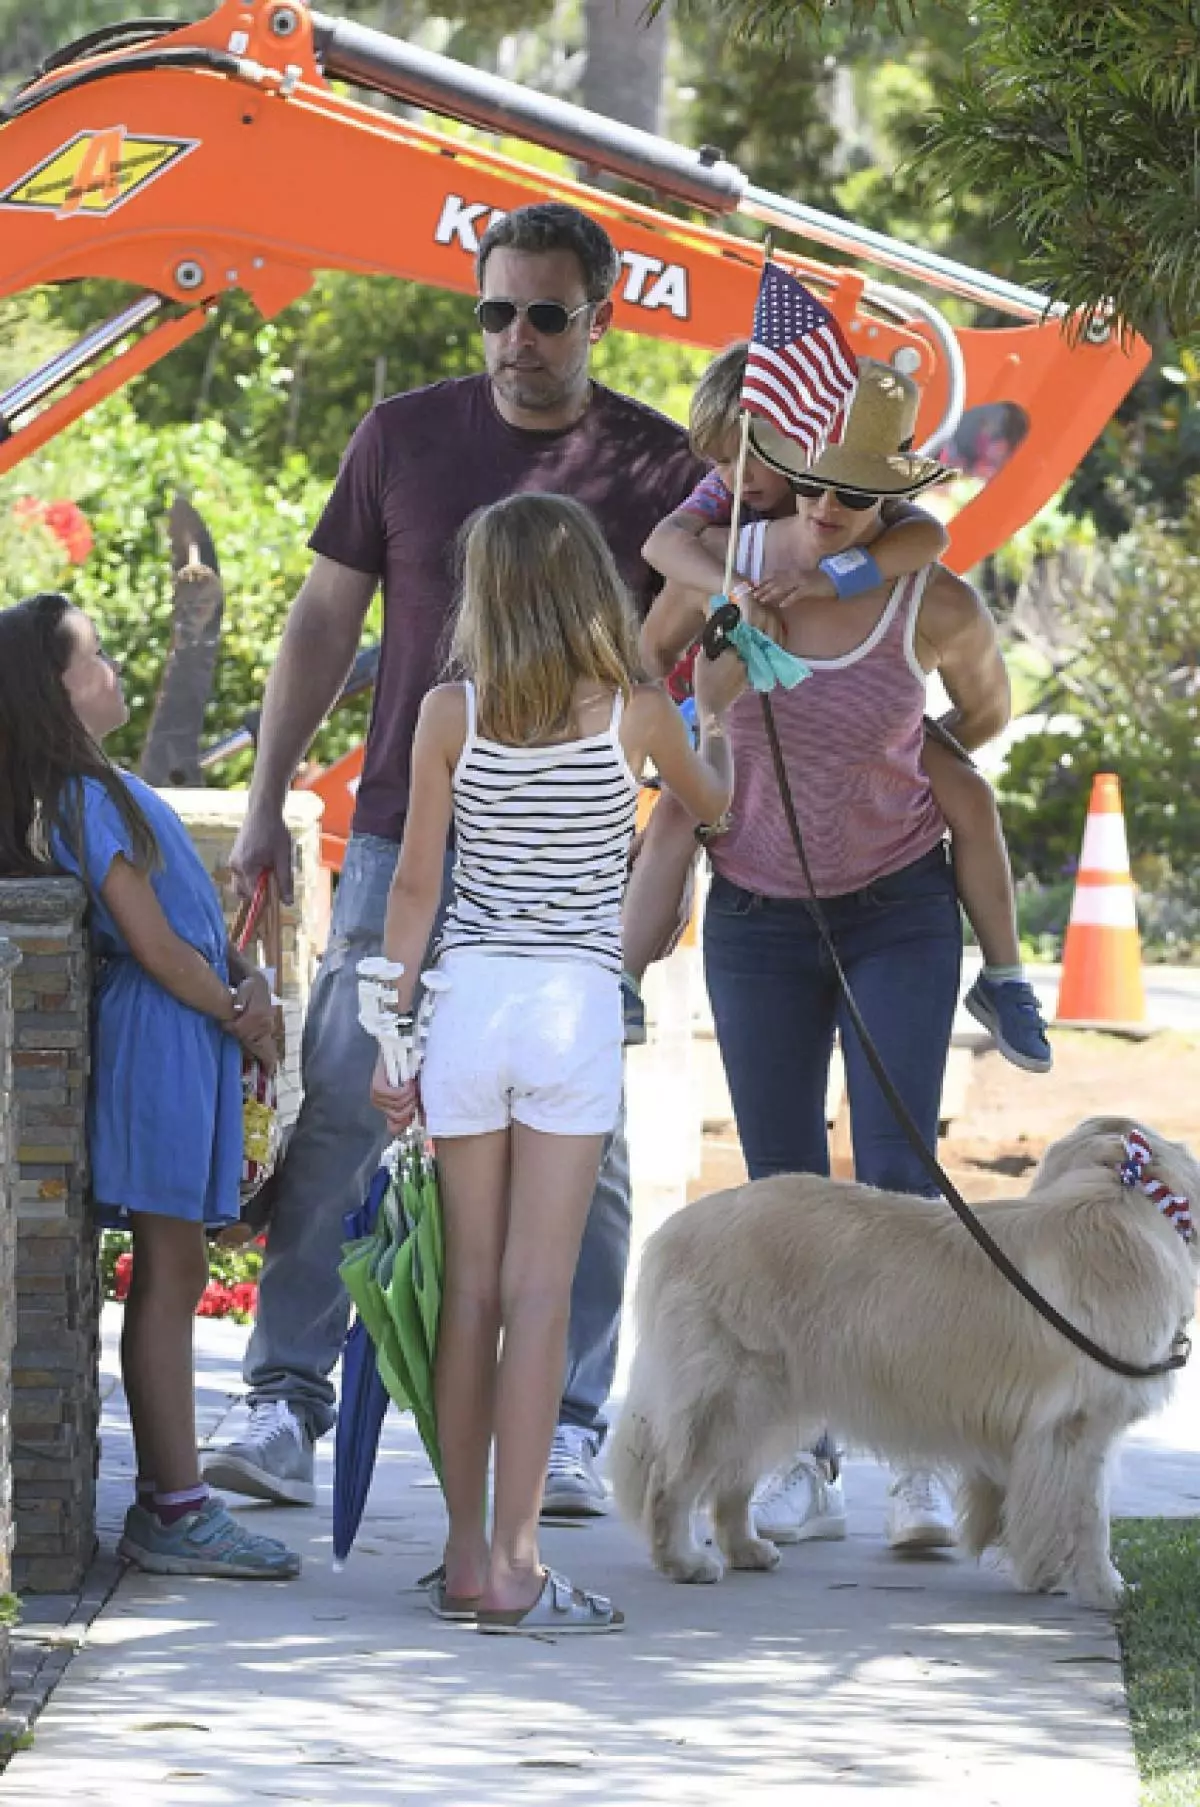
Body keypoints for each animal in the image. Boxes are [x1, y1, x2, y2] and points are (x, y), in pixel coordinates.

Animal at [614, 1113, 1192, 1611]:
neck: (1122, 1198)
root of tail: (675, 1227)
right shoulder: (1080, 1426)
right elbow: (1090, 1516)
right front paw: (1105, 1589)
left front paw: (1047, 1575)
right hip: (736, 1393)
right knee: (673, 1481)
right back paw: (684, 1561)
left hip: (775, 1399)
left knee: (732, 1480)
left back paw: (746, 1549)